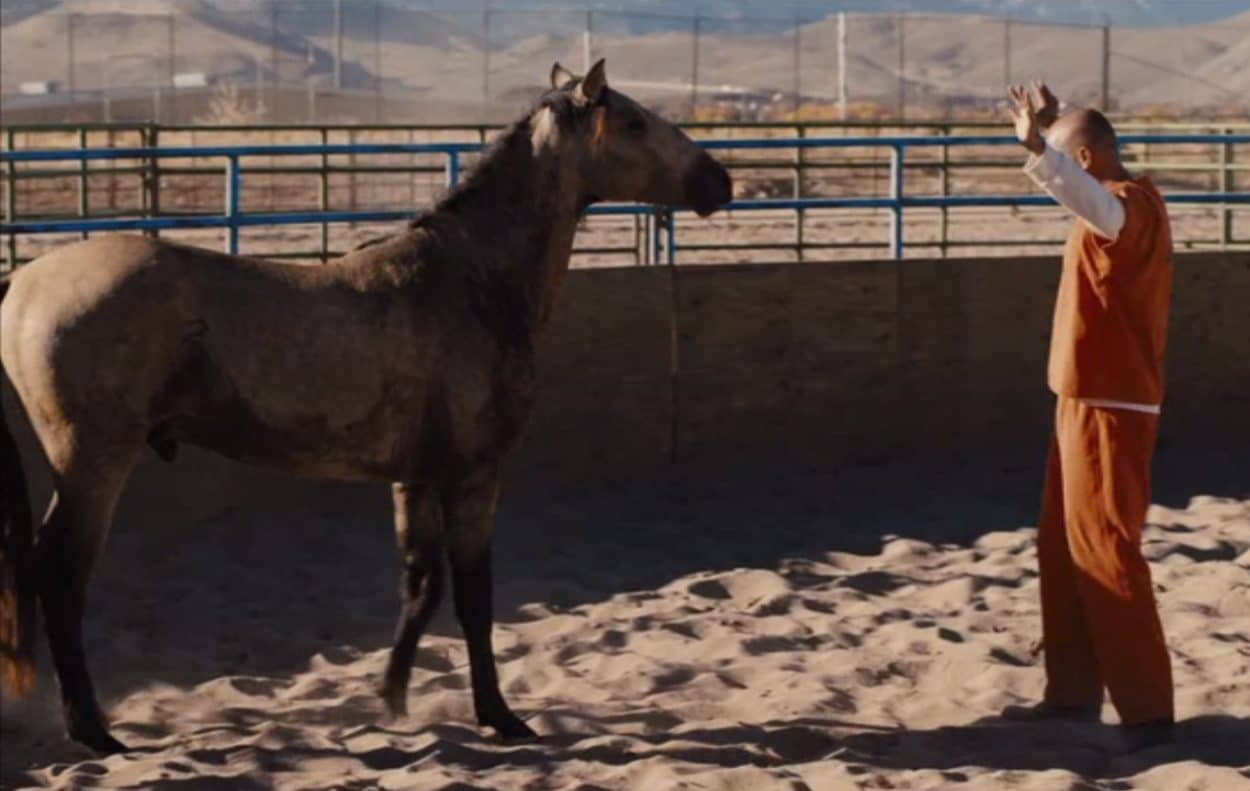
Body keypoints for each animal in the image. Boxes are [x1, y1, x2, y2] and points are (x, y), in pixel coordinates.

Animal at [0, 59, 732, 755]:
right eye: (634, 121)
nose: (719, 182)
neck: (470, 279)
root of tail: (26, 280)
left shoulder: (414, 478)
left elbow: (420, 586)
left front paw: (391, 695)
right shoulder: (474, 475)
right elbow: (474, 599)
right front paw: (499, 716)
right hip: (95, 462)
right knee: (59, 577)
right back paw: (92, 729)